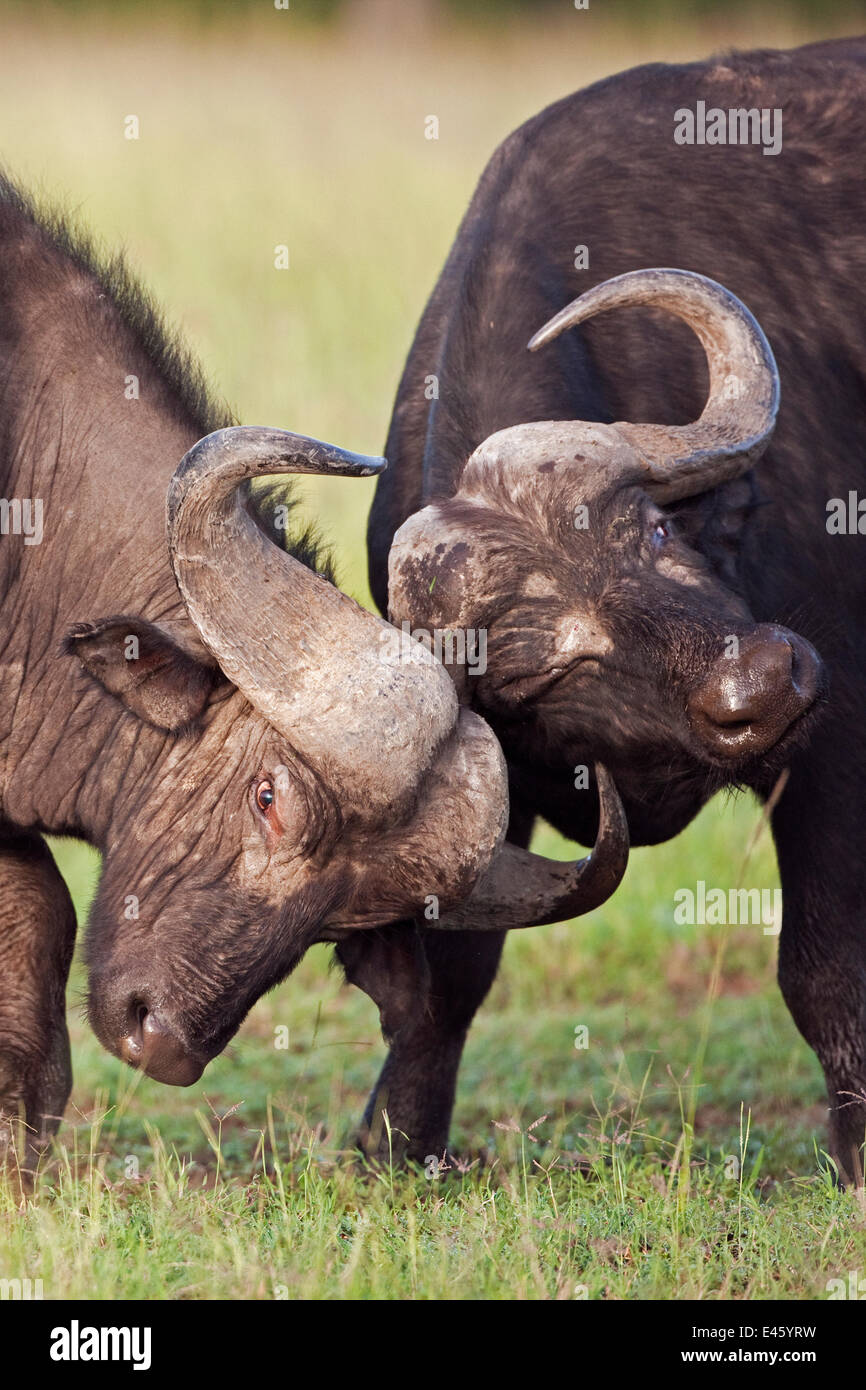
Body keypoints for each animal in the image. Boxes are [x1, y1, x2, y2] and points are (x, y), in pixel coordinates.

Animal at [368, 37, 866, 1179]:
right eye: (546, 669)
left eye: (653, 536)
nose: (762, 681)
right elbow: (445, 977)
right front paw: (397, 1143)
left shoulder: (836, 724)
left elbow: (825, 964)